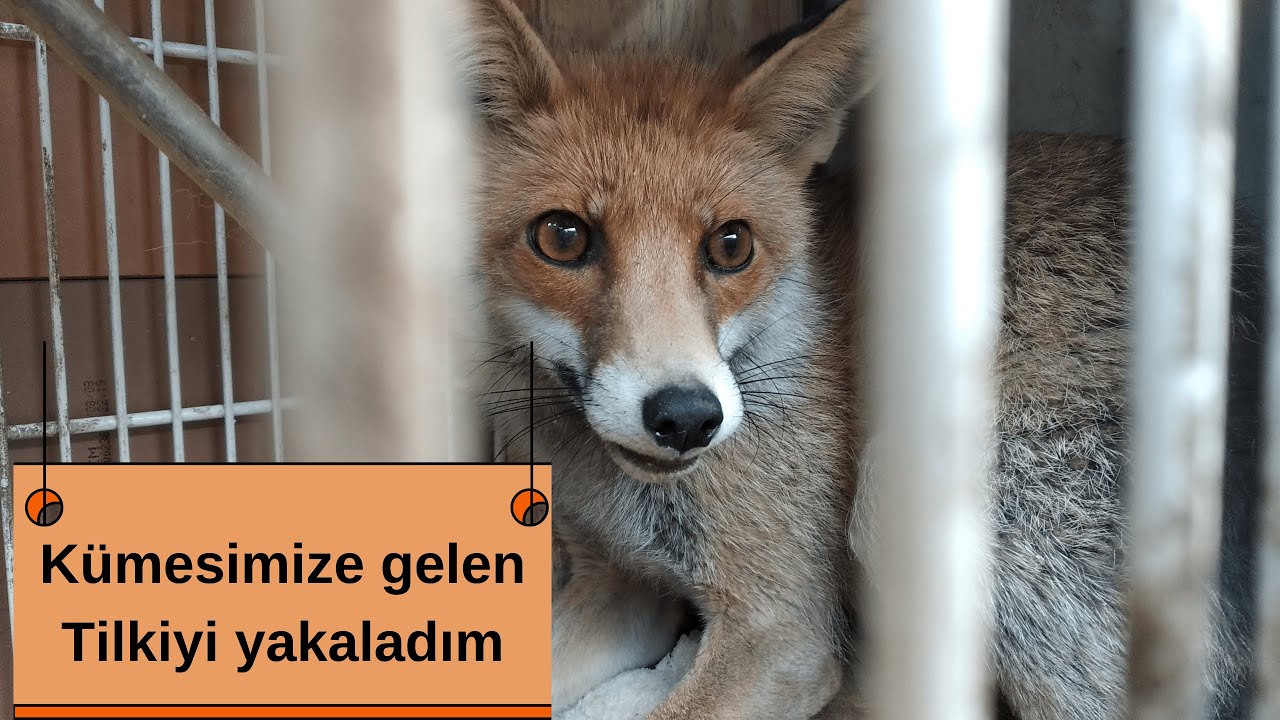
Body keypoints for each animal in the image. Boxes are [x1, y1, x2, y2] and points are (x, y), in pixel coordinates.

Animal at [462, 1, 1258, 719]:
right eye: (562, 237)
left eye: (730, 246)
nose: (686, 417)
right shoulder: (622, 587)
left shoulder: (780, 633)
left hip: (896, 486)